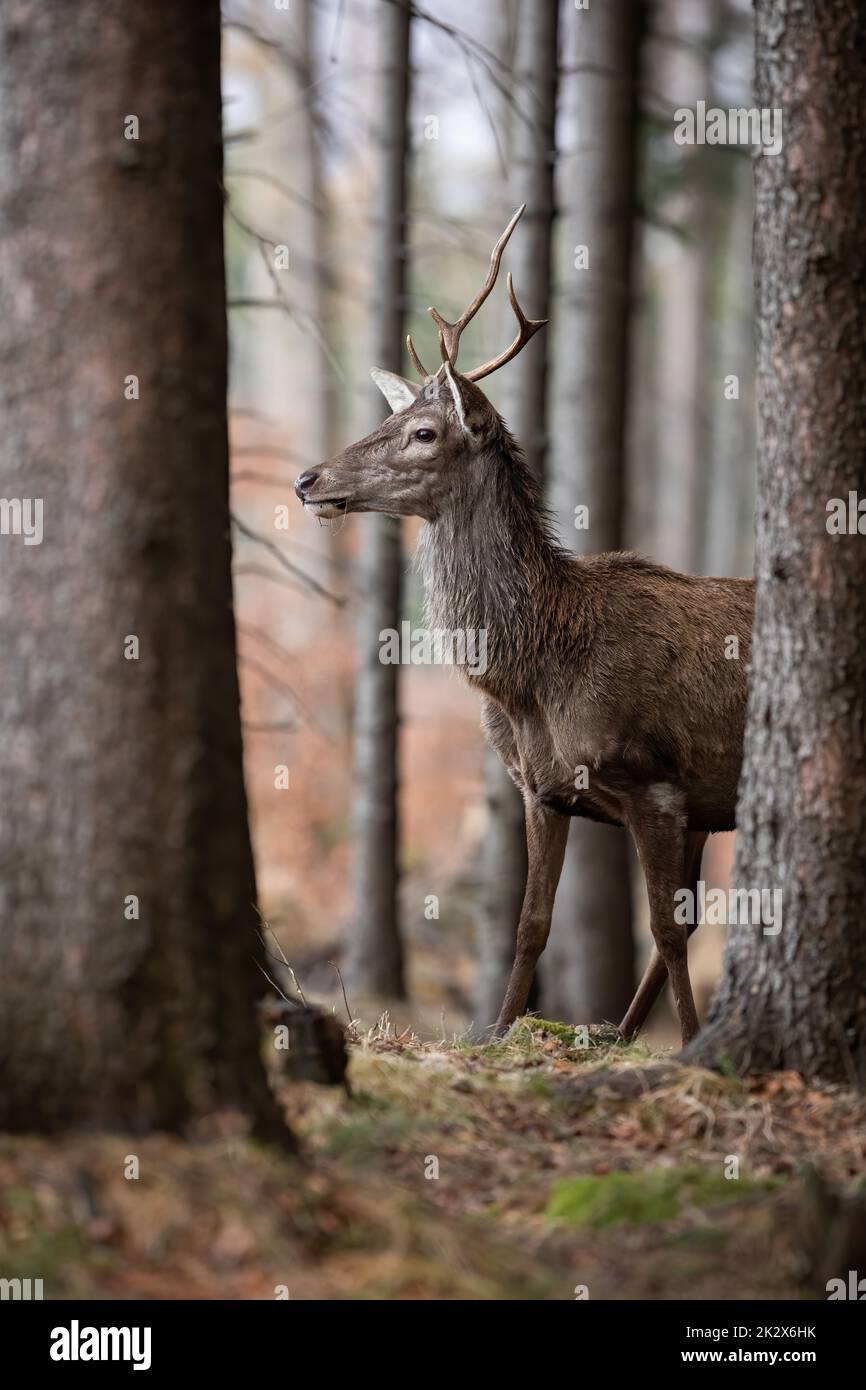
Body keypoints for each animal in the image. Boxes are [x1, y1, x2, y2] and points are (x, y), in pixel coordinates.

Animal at [294, 206, 754, 1046]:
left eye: (424, 432)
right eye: (391, 413)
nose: (308, 477)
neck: (532, 672)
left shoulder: (654, 781)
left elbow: (664, 929)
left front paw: (692, 1045)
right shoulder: (542, 791)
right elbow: (531, 926)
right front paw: (501, 1033)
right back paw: (619, 1032)